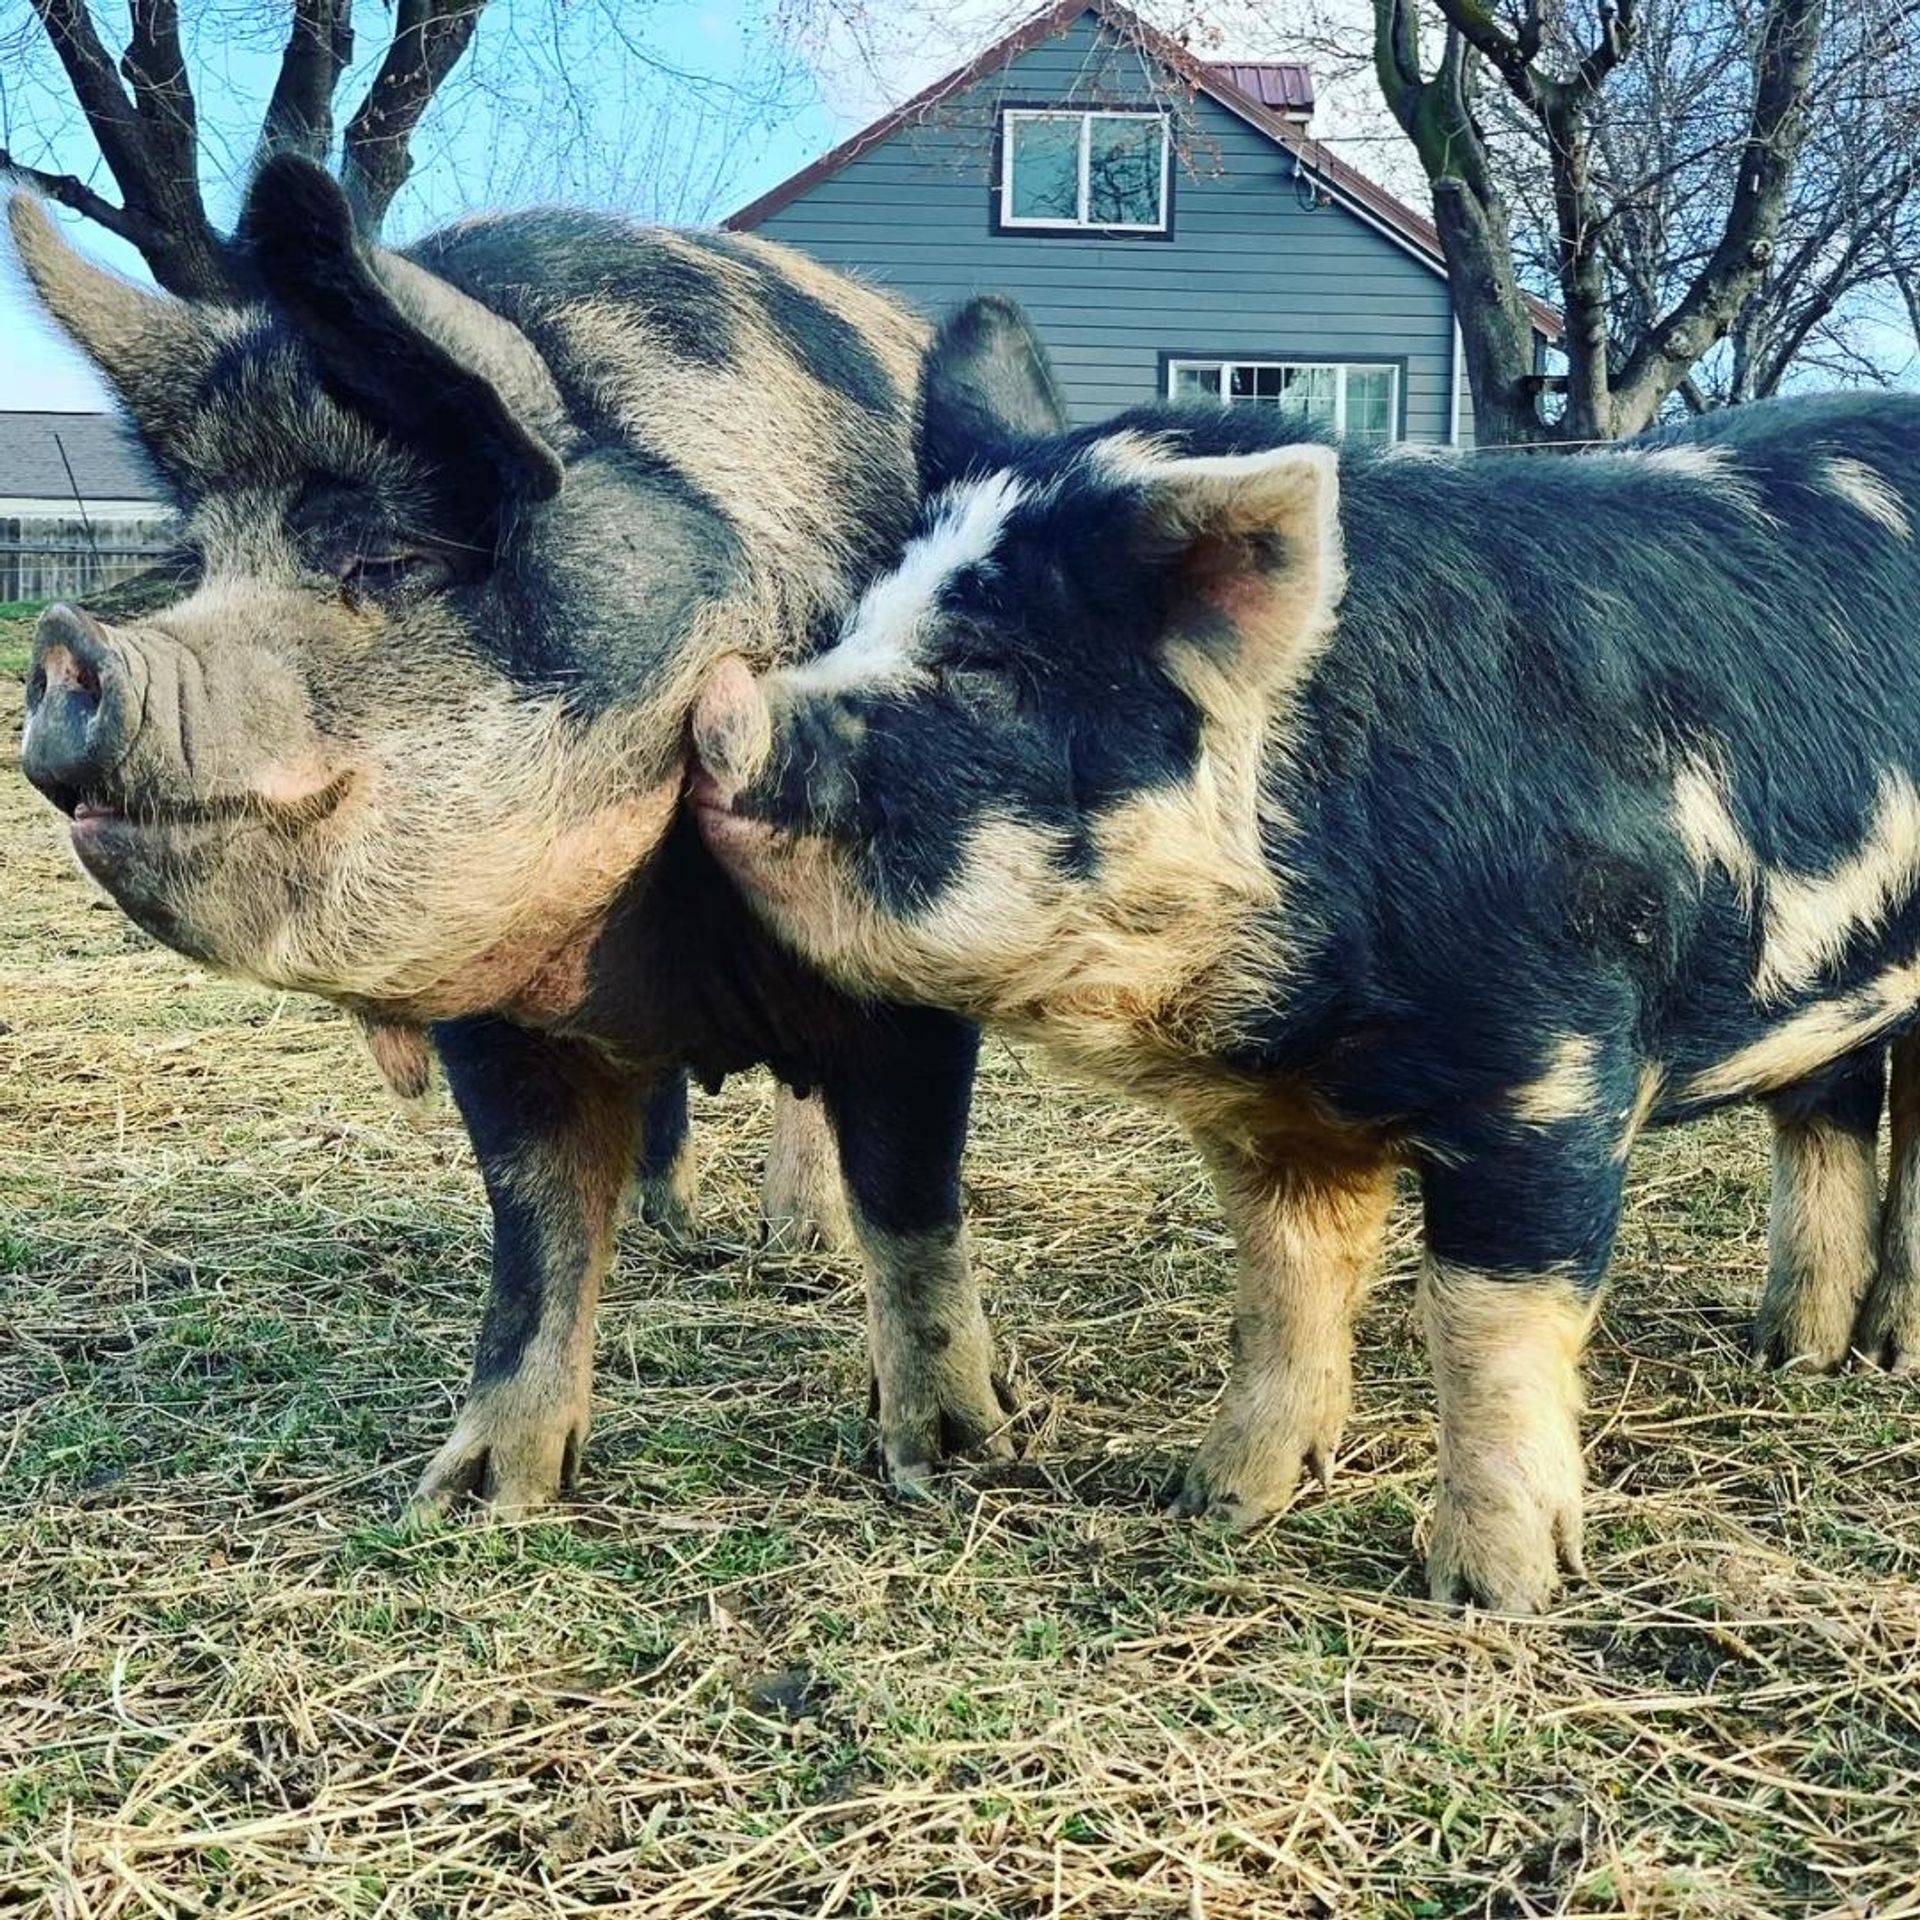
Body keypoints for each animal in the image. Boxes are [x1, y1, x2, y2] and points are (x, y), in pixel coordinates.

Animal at [14, 157, 1071, 1513]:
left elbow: (911, 1194)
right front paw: (471, 1501)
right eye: (200, 563)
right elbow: (538, 1226)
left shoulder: (918, 960)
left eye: (385, 558)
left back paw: (797, 1243)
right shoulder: (492, 1007)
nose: (66, 647)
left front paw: (961, 1461)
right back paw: (681, 1223)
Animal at [691, 328, 1920, 1611]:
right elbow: (1284, 1284)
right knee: (1831, 1107)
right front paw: (1217, 1504)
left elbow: (1487, 1322)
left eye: (988, 666)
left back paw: (1883, 1357)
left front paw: (1489, 1598)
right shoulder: (1276, 1116)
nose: (722, 705)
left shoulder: (1556, 1063)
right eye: (852, 625)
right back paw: (1796, 1354)